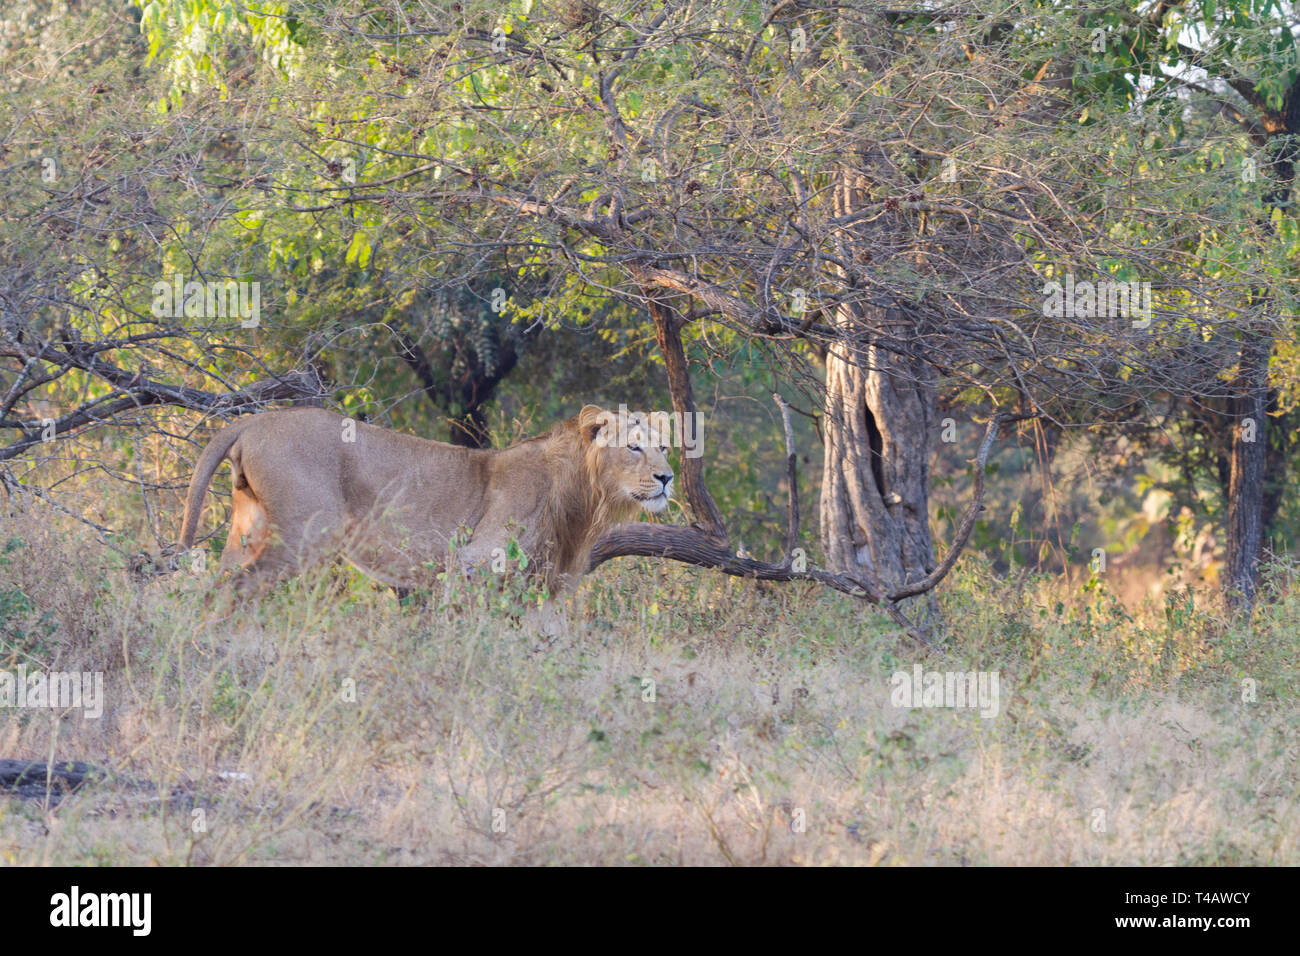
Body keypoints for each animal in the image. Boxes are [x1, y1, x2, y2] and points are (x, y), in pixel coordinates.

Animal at [177, 405, 673, 613]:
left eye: (664, 447)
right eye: (633, 447)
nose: (667, 478)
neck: (583, 498)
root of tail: (253, 421)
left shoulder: (541, 587)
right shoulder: (472, 566)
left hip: (248, 528)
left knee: (215, 586)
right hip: (305, 537)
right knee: (228, 592)